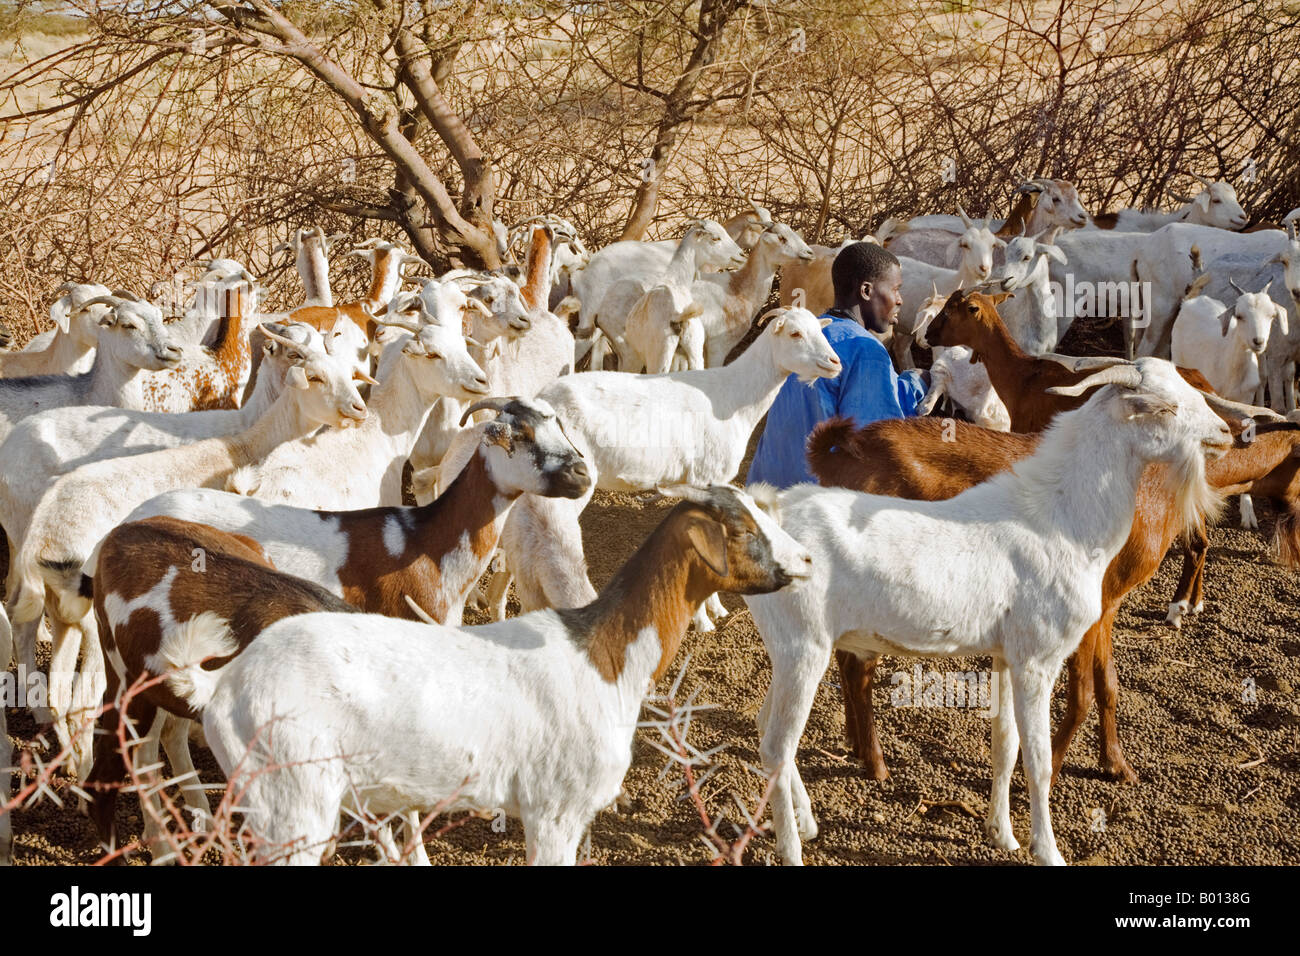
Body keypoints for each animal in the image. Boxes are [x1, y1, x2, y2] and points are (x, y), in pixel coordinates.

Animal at [161, 484, 810, 865]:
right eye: (743, 531)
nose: (804, 559)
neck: (602, 657)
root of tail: (224, 684)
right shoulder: (554, 812)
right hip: (290, 802)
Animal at [745, 359, 1231, 865]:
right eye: (1165, 406)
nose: (1225, 432)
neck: (1062, 520)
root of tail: (768, 515)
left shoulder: (1004, 655)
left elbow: (1006, 745)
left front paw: (1003, 834)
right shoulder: (1037, 658)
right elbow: (1038, 761)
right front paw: (1047, 850)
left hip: (788, 647)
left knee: (765, 728)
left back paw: (808, 822)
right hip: (803, 646)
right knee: (777, 745)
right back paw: (792, 848)